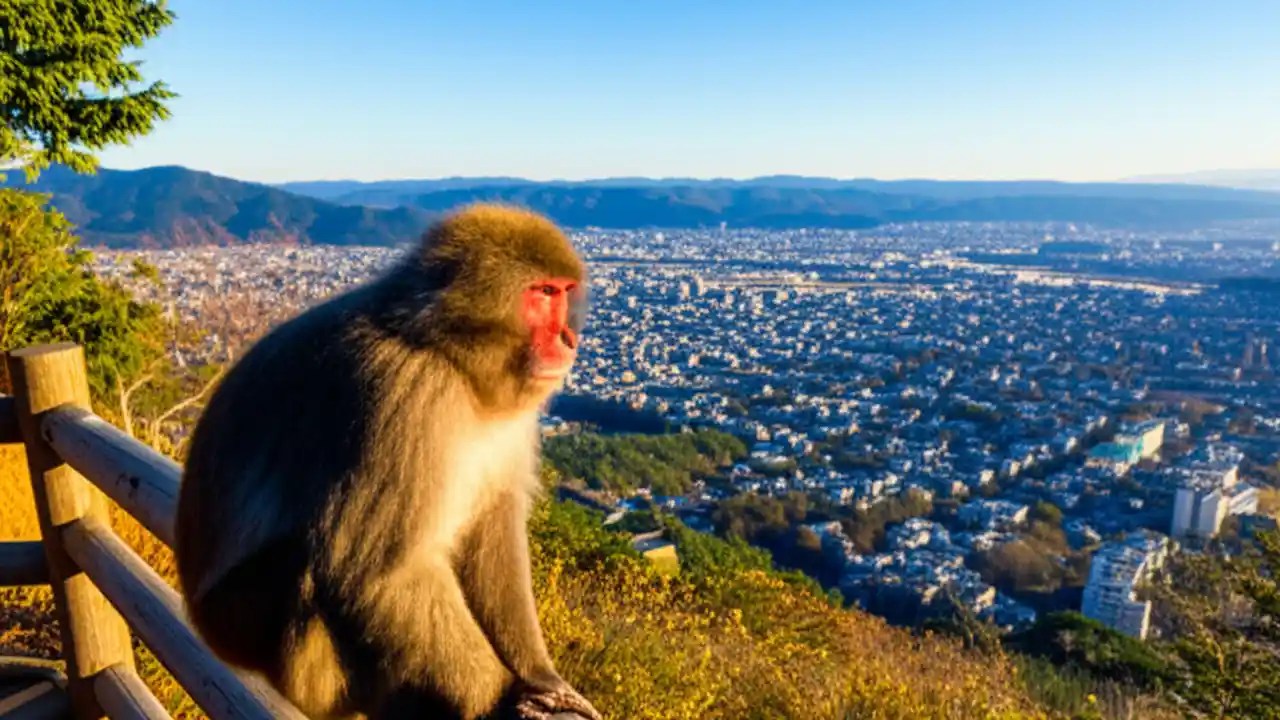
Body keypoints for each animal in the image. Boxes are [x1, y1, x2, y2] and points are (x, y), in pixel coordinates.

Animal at [175, 204, 601, 720]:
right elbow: (378, 575)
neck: (451, 359)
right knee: (314, 565)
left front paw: (542, 678)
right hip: (255, 629)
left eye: (564, 292)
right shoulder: (397, 389)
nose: (569, 338)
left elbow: (492, 527)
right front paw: (501, 700)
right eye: (542, 294)